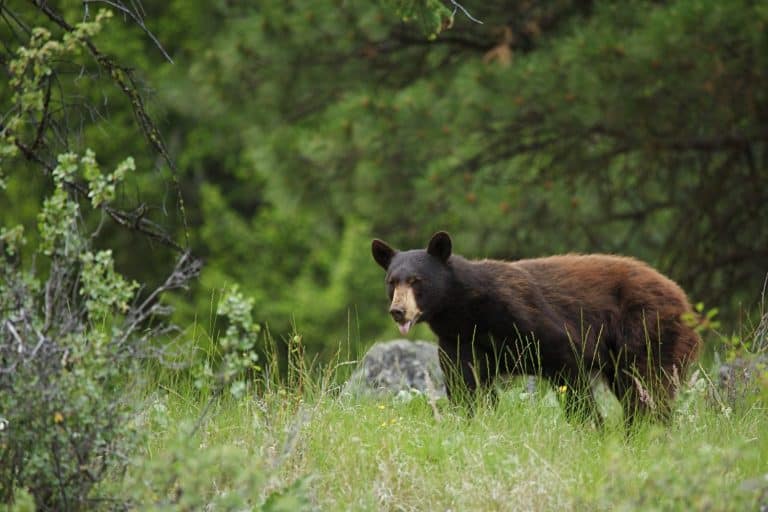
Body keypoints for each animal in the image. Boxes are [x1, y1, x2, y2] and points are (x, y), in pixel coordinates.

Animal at [371, 231, 701, 425]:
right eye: (391, 282)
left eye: (416, 280)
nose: (398, 312)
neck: (466, 309)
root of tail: (682, 297)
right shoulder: (458, 340)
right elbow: (465, 384)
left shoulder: (528, 317)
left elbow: (568, 365)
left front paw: (590, 425)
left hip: (647, 328)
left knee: (647, 384)